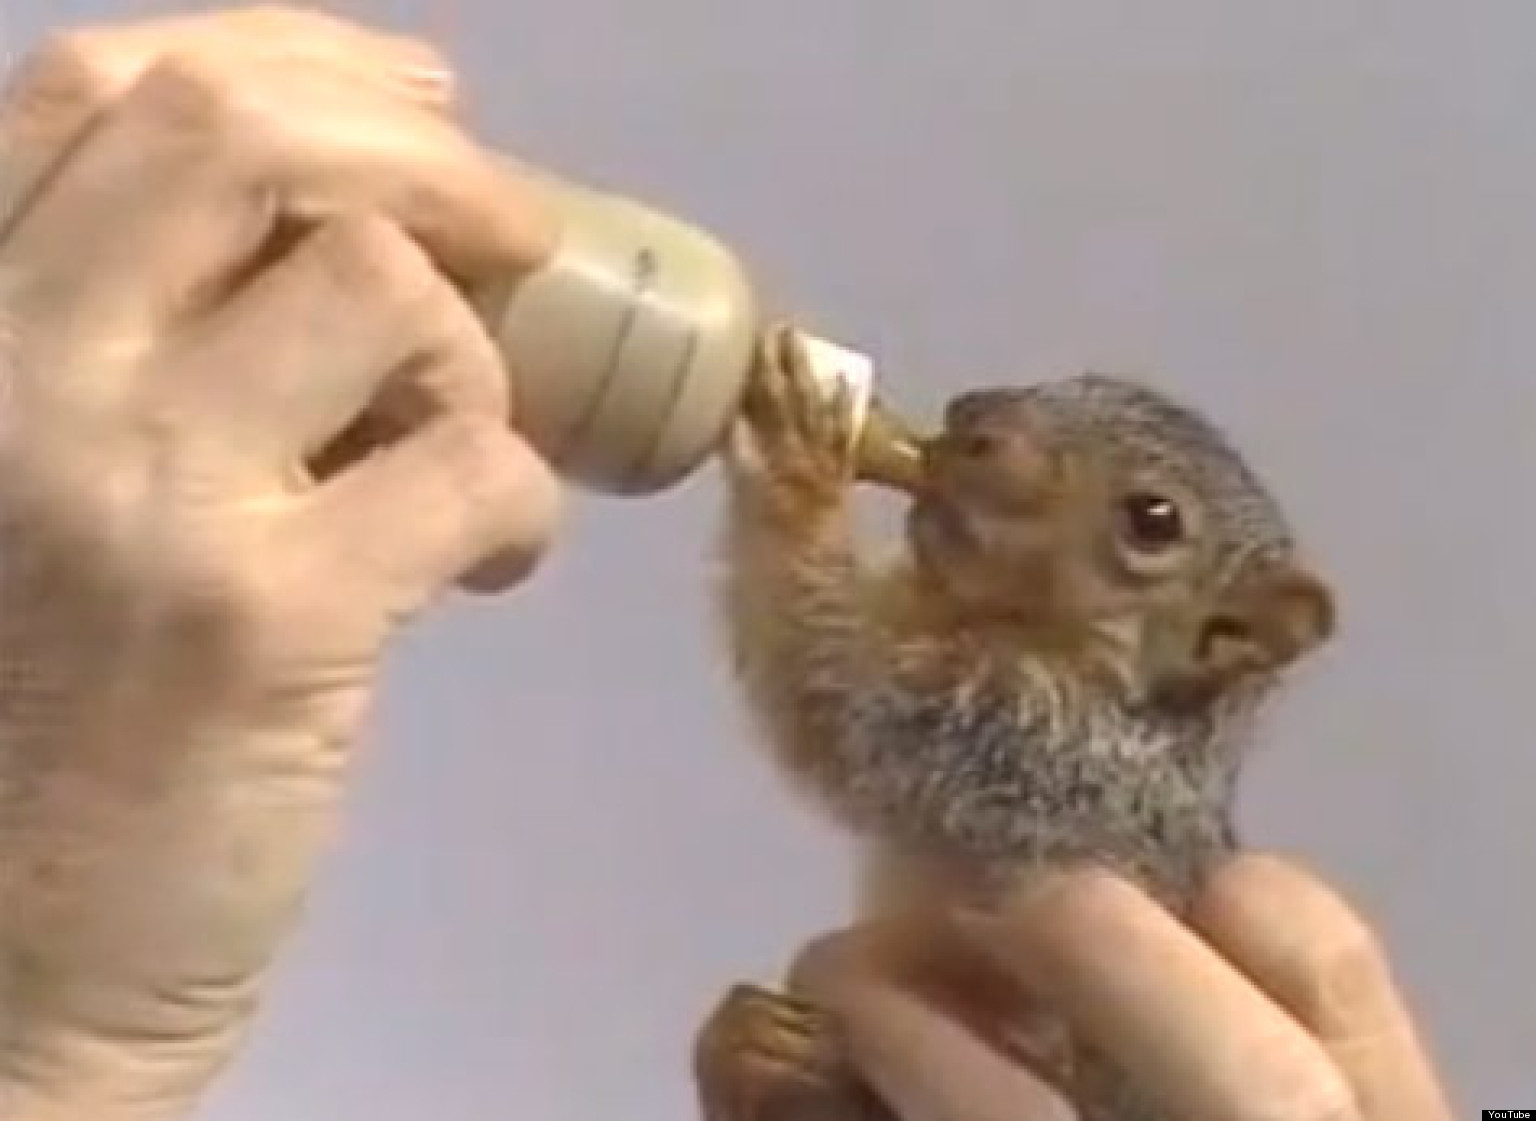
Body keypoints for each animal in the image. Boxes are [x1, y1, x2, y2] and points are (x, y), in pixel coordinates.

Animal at [692, 325, 1336, 1121]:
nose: (970, 416)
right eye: (1082, 378)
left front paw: (801, 449)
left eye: (1154, 519)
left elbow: (834, 688)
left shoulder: (1012, 749)